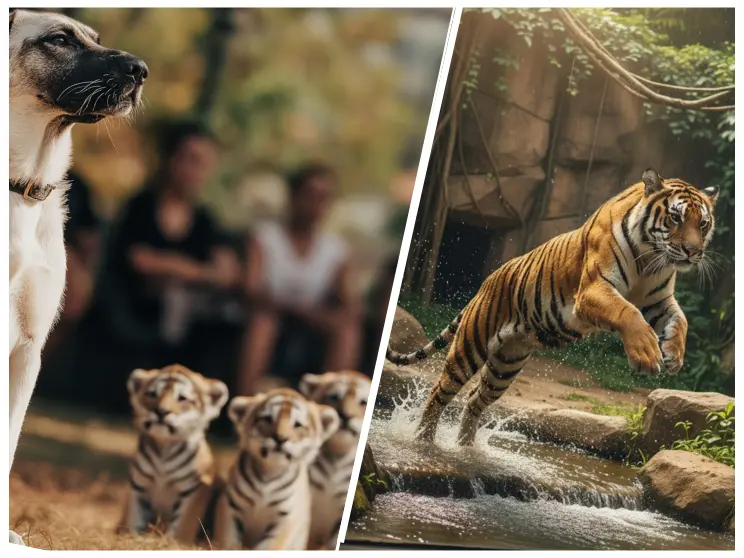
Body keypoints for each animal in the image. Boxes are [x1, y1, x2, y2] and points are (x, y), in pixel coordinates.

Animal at [118, 364, 229, 544]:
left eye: (182, 398)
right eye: (152, 394)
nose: (161, 411)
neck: (165, 447)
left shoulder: (193, 490)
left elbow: (182, 524)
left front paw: (173, 543)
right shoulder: (138, 486)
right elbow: (134, 518)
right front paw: (131, 537)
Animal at [213, 388, 340, 550]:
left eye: (297, 425)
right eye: (268, 419)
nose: (281, 438)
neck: (270, 471)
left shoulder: (286, 516)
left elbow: (268, 546)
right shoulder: (229, 505)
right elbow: (228, 540)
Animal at [387, 168, 718, 446]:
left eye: (702, 223)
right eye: (675, 218)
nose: (693, 251)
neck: (649, 260)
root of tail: (486, 282)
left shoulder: (659, 301)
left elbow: (681, 321)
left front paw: (674, 354)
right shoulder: (593, 289)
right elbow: (629, 313)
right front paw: (647, 356)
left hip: (505, 365)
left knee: (473, 400)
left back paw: (466, 448)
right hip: (471, 345)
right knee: (439, 394)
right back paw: (423, 441)